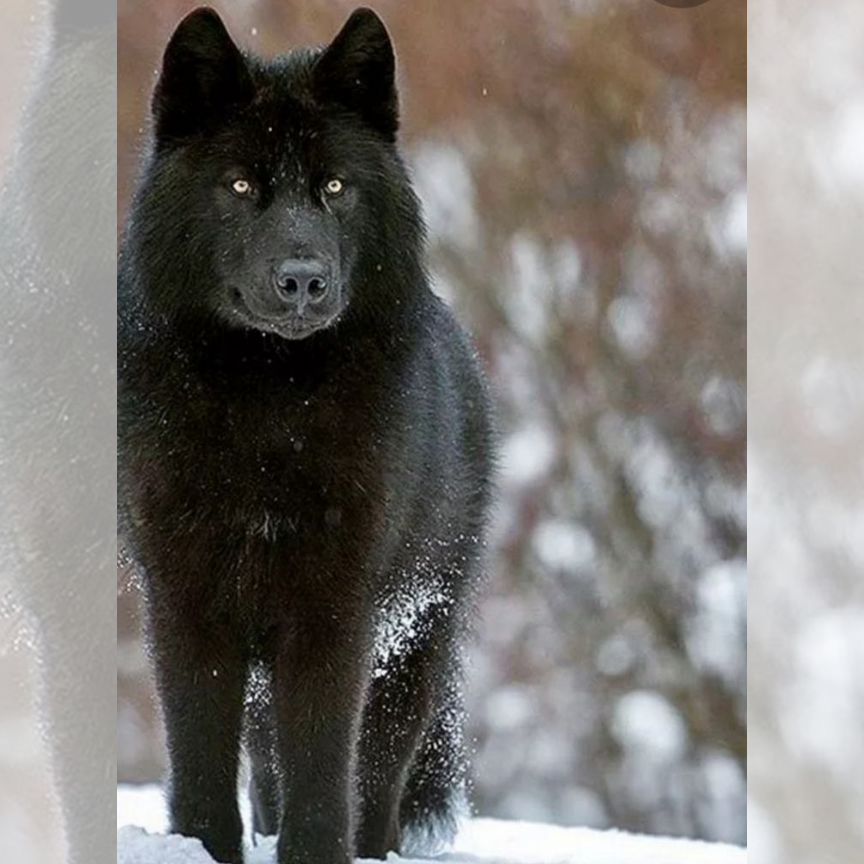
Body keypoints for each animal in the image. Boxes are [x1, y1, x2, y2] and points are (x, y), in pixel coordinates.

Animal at [117, 8, 492, 864]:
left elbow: (326, 775)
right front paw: (205, 847)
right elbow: (202, 765)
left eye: (334, 187)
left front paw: (318, 852)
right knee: (267, 772)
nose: (302, 279)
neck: (268, 408)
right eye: (240, 185)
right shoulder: (186, 608)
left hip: (408, 653)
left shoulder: (334, 616)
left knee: (376, 782)